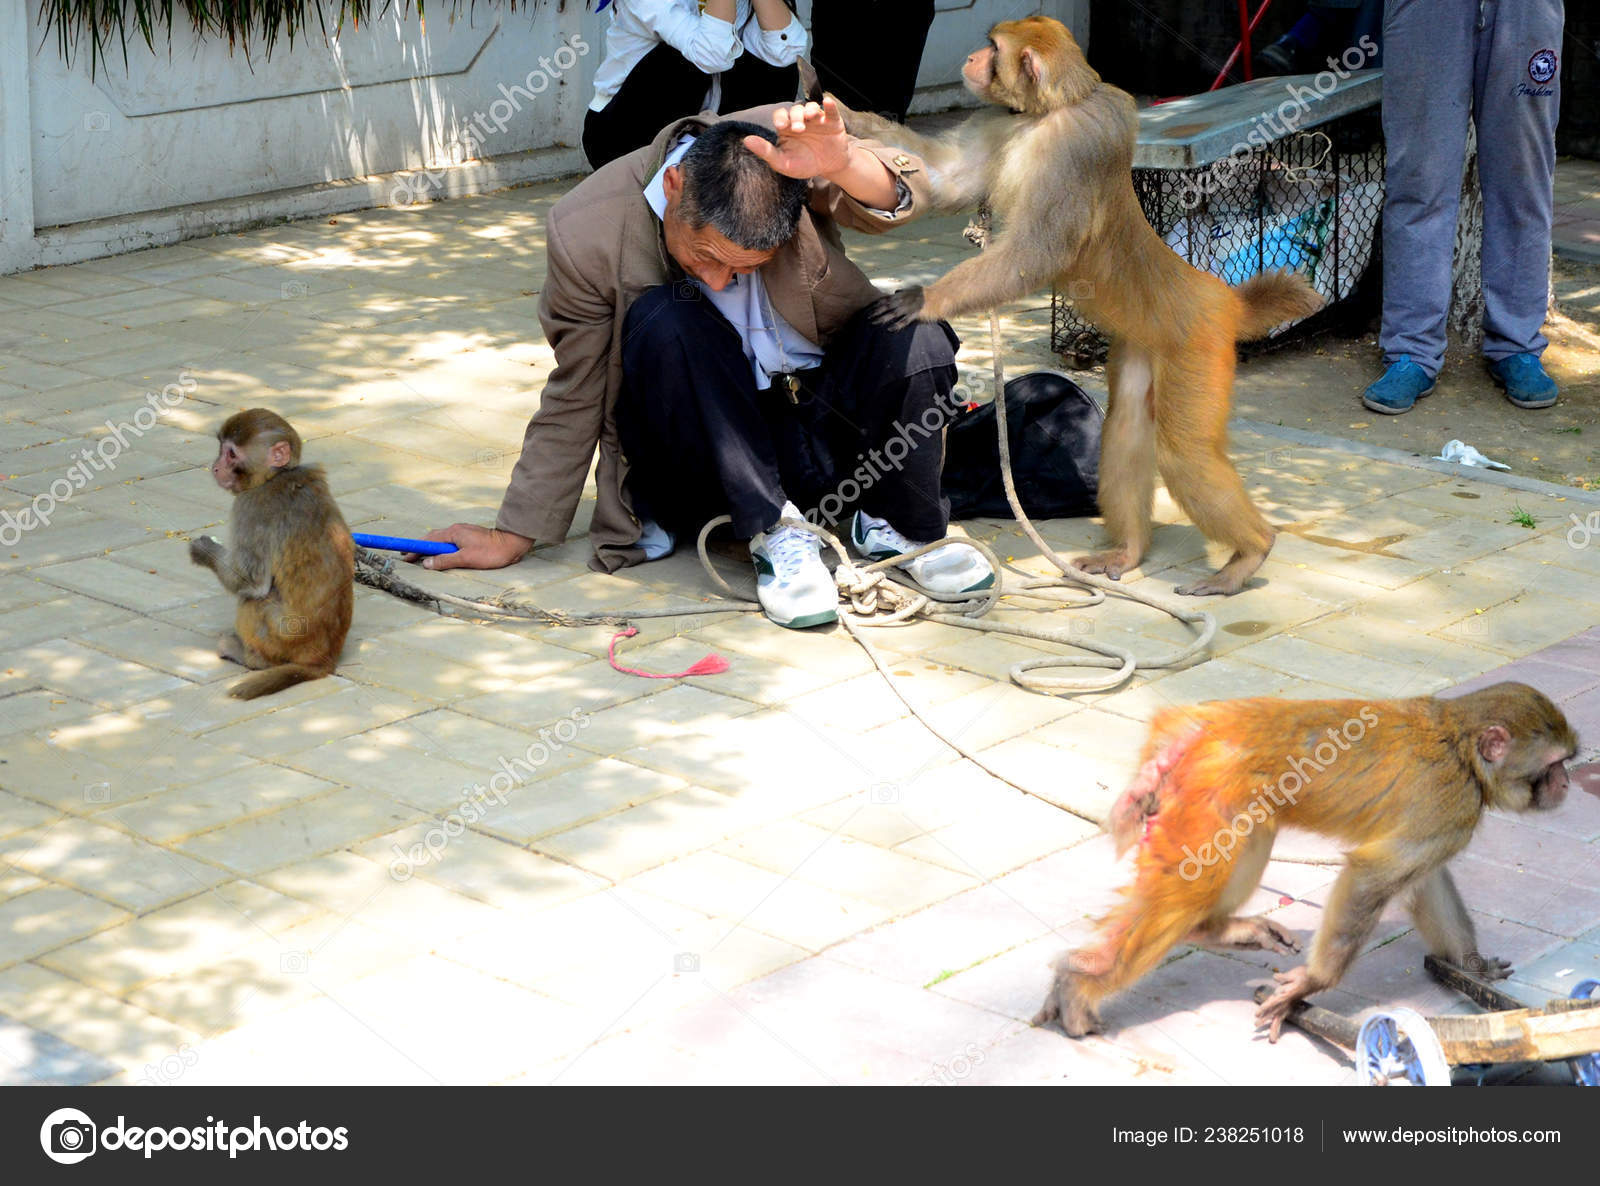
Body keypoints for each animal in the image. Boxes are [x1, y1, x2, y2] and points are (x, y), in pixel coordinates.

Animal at [189, 409, 354, 700]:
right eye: (222, 449)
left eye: (231, 454)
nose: (216, 467)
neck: (276, 476)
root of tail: (323, 661)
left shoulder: (249, 505)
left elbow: (250, 581)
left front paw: (204, 550)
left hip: (280, 639)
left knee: (253, 600)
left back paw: (250, 658)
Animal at [838, 16, 1323, 595]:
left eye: (993, 47)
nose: (973, 60)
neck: (1044, 114)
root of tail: (1218, 294)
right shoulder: (1000, 124)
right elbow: (943, 180)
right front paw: (837, 116)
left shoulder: (1074, 146)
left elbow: (1037, 251)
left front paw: (925, 300)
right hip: (1144, 344)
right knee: (1127, 426)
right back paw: (1132, 548)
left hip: (1198, 346)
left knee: (1182, 452)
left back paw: (1251, 553)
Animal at [1031, 683, 1577, 1041]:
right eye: (1554, 765)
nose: (1568, 783)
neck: (1462, 749)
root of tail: (1199, 726)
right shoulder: (1450, 806)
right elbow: (1373, 874)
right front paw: (1313, 984)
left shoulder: (1444, 820)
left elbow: (1423, 880)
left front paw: (1469, 965)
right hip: (1208, 794)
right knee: (1188, 887)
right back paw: (1081, 980)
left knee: (1249, 836)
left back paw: (1211, 930)